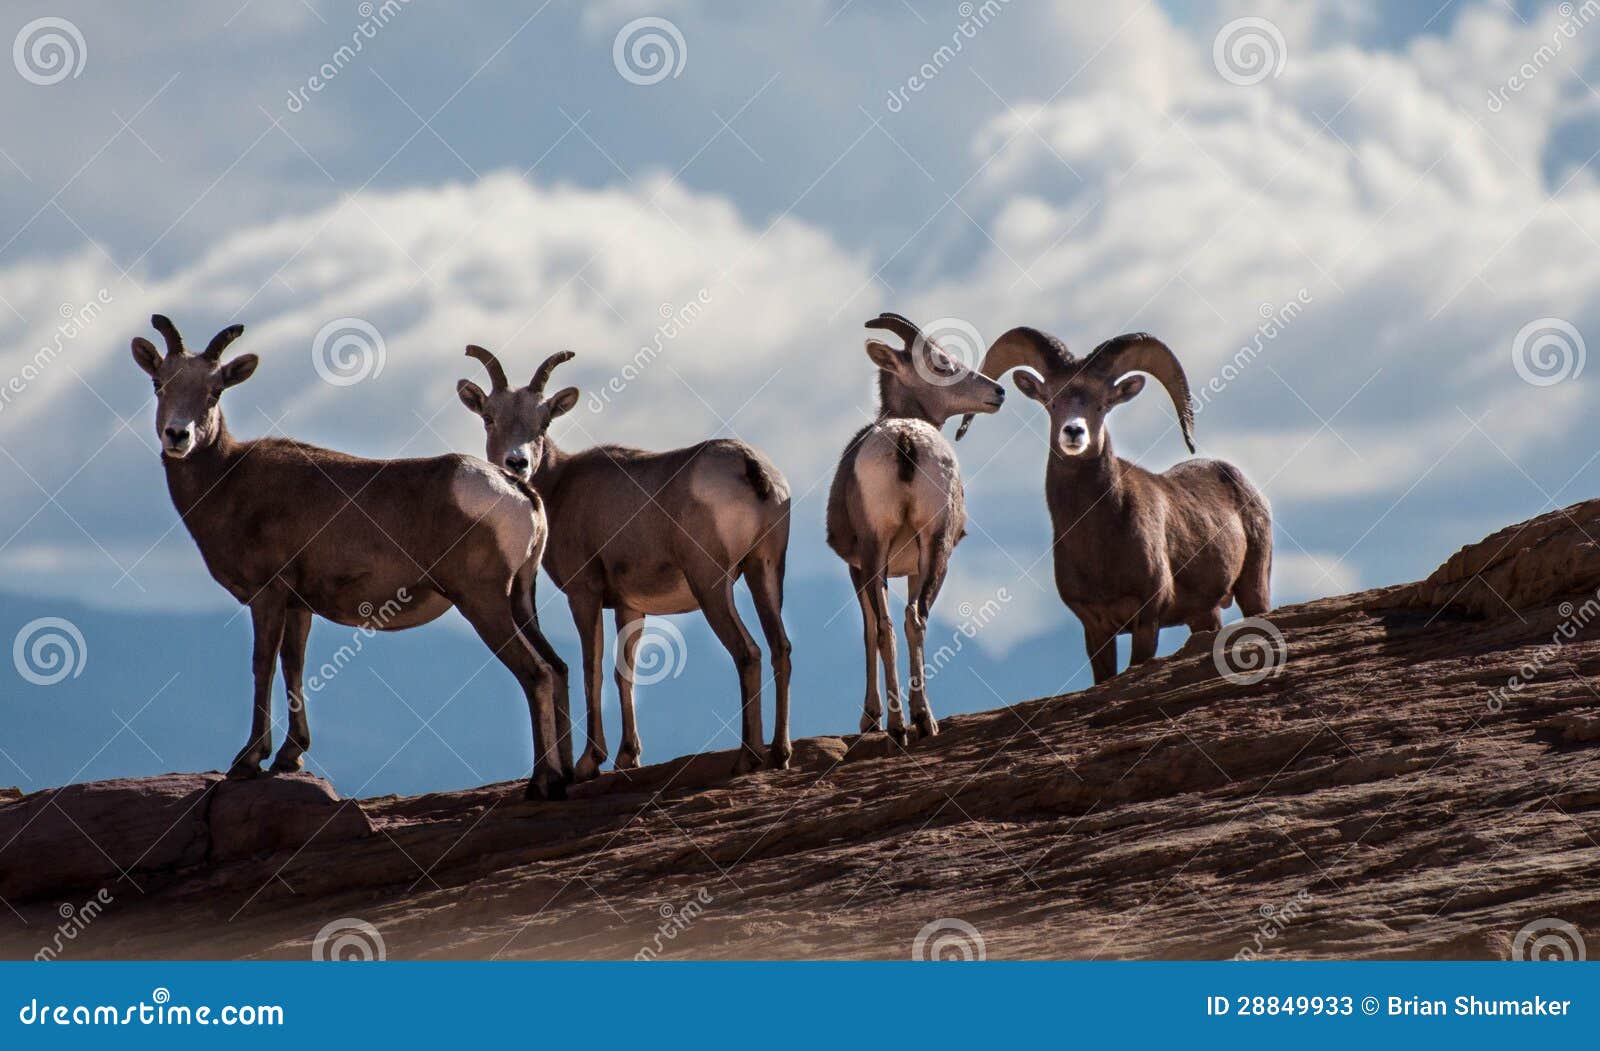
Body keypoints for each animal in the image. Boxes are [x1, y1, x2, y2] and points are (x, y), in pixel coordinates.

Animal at [130, 315, 571, 800]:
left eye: (215, 391)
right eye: (158, 383)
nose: (178, 436)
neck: (228, 481)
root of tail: (519, 491)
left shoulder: (268, 596)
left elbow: (262, 664)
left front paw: (247, 761)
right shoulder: (298, 606)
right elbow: (294, 665)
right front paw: (289, 756)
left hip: (484, 603)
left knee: (536, 674)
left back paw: (543, 783)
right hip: (520, 601)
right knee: (557, 668)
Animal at [456, 344, 792, 780]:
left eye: (543, 421)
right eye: (490, 417)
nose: (517, 464)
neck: (561, 485)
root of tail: (752, 468)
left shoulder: (584, 595)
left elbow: (592, 668)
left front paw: (589, 761)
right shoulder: (631, 607)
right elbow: (624, 673)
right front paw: (627, 757)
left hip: (712, 585)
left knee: (748, 652)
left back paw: (747, 757)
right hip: (764, 572)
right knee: (780, 647)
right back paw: (780, 753)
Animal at [826, 313, 1006, 743]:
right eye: (942, 364)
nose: (999, 392)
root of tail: (906, 438)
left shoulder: (865, 566)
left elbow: (869, 630)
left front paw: (871, 718)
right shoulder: (890, 566)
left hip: (882, 549)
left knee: (890, 625)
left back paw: (901, 724)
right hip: (933, 547)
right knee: (910, 620)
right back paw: (920, 720)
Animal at [975, 326, 1273, 683]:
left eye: (1103, 404)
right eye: (1052, 400)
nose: (1073, 432)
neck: (1098, 545)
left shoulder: (1147, 620)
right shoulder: (1095, 628)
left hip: (1254, 586)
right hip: (1203, 613)